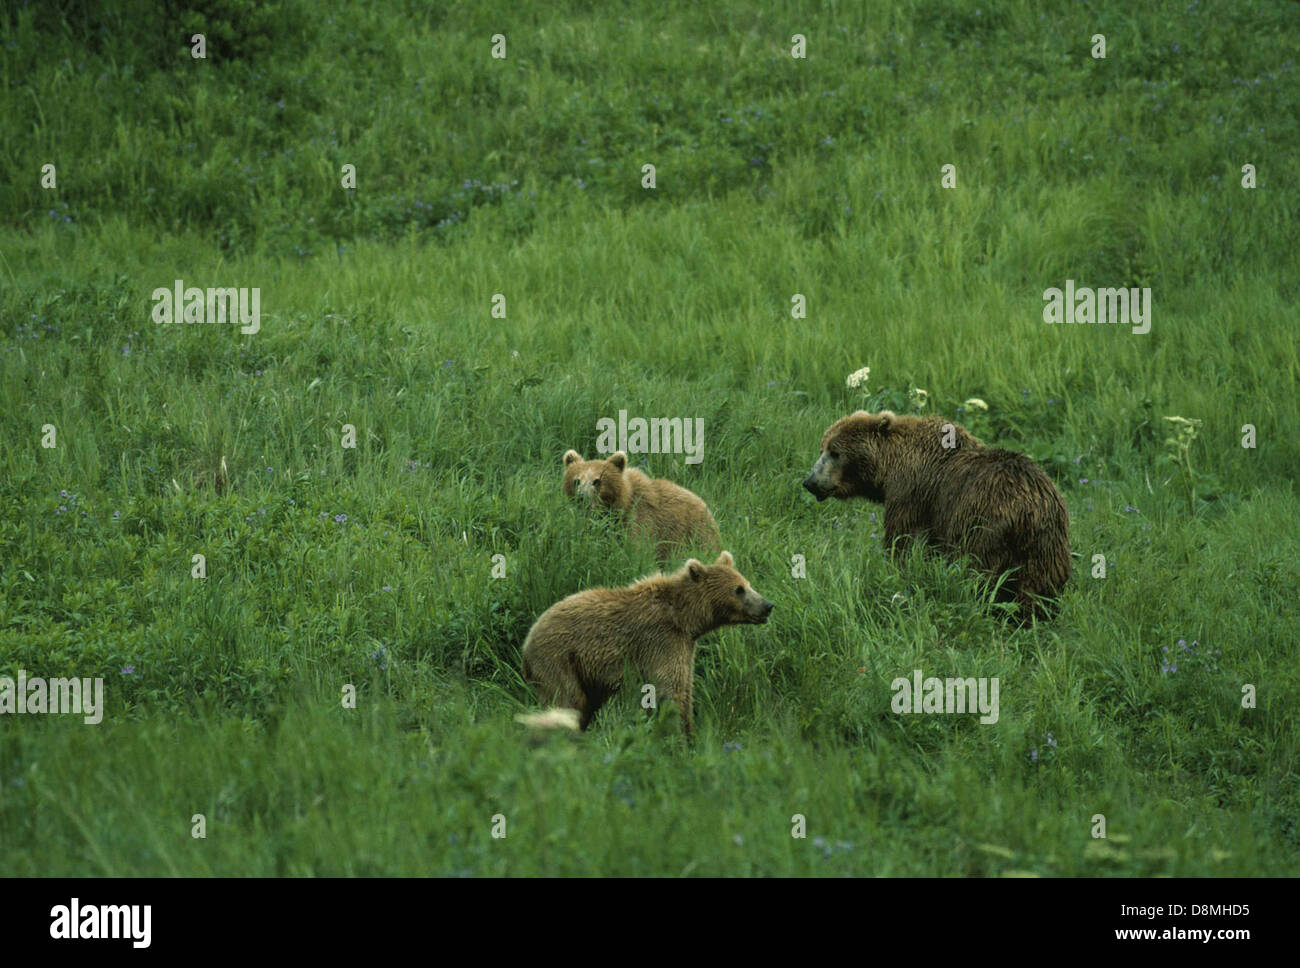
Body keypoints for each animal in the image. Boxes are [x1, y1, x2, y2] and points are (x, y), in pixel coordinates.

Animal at [521, 550, 773, 737]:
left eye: (747, 584)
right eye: (738, 590)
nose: (767, 605)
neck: (684, 618)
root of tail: (527, 640)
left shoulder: (684, 645)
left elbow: (684, 685)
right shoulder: (662, 641)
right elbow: (672, 689)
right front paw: (683, 736)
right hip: (558, 659)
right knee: (568, 701)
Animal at [562, 449, 721, 564]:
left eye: (597, 481)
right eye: (577, 480)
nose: (582, 497)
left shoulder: (640, 519)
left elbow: (636, 548)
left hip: (693, 534)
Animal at [802, 410, 1070, 622]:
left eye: (835, 452)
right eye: (822, 447)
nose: (810, 482)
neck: (887, 470)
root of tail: (1029, 509)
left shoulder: (912, 496)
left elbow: (903, 542)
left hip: (986, 529)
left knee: (979, 574)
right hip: (1047, 546)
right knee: (1039, 588)